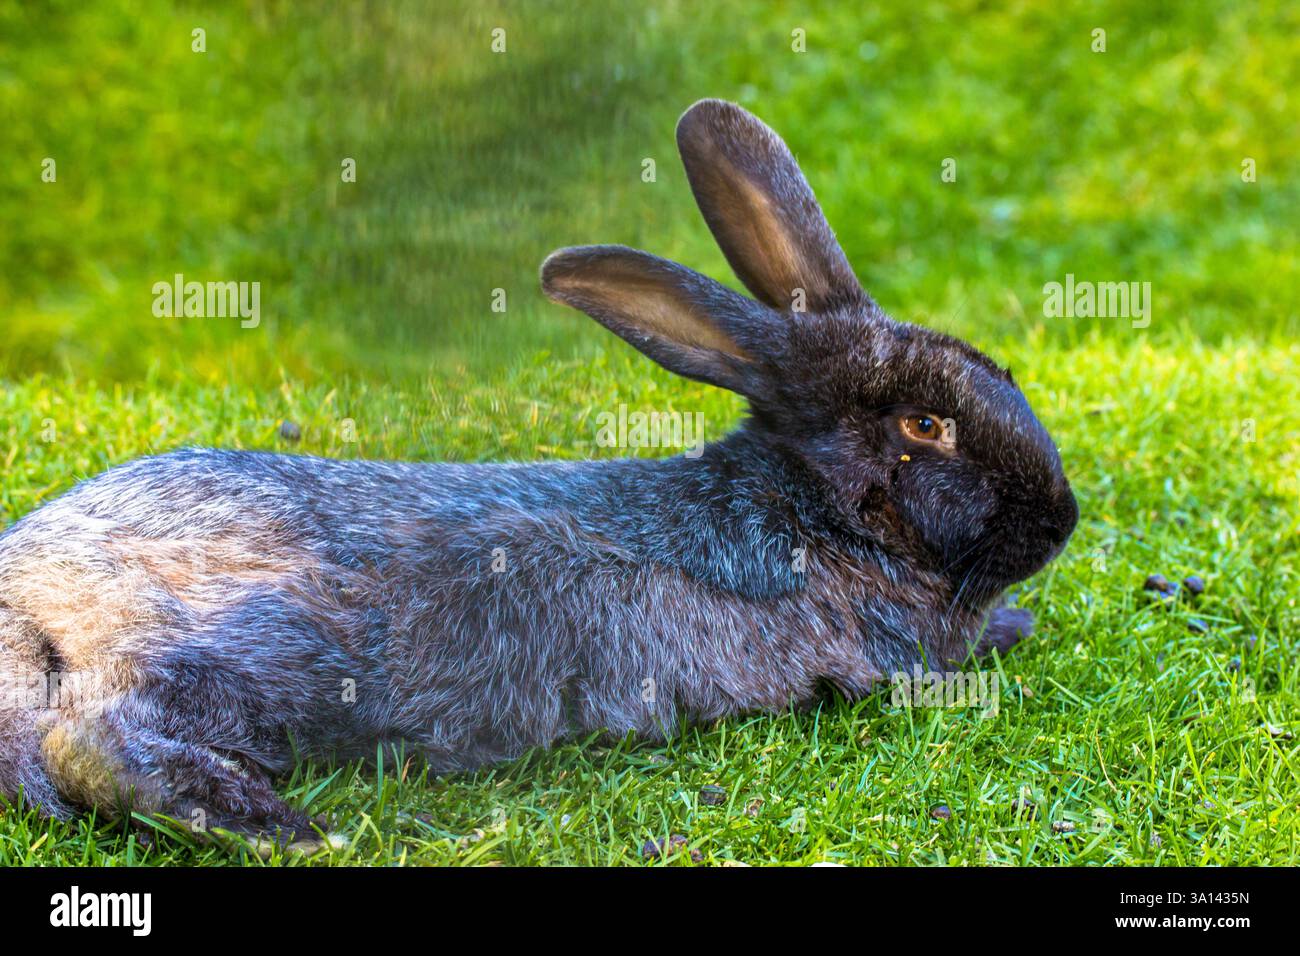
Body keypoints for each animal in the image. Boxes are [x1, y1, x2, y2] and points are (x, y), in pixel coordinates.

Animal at [0, 99, 1077, 842]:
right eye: (925, 423)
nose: (1061, 519)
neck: (817, 512)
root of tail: (33, 576)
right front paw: (1016, 627)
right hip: (260, 649)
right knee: (88, 736)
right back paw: (265, 824)